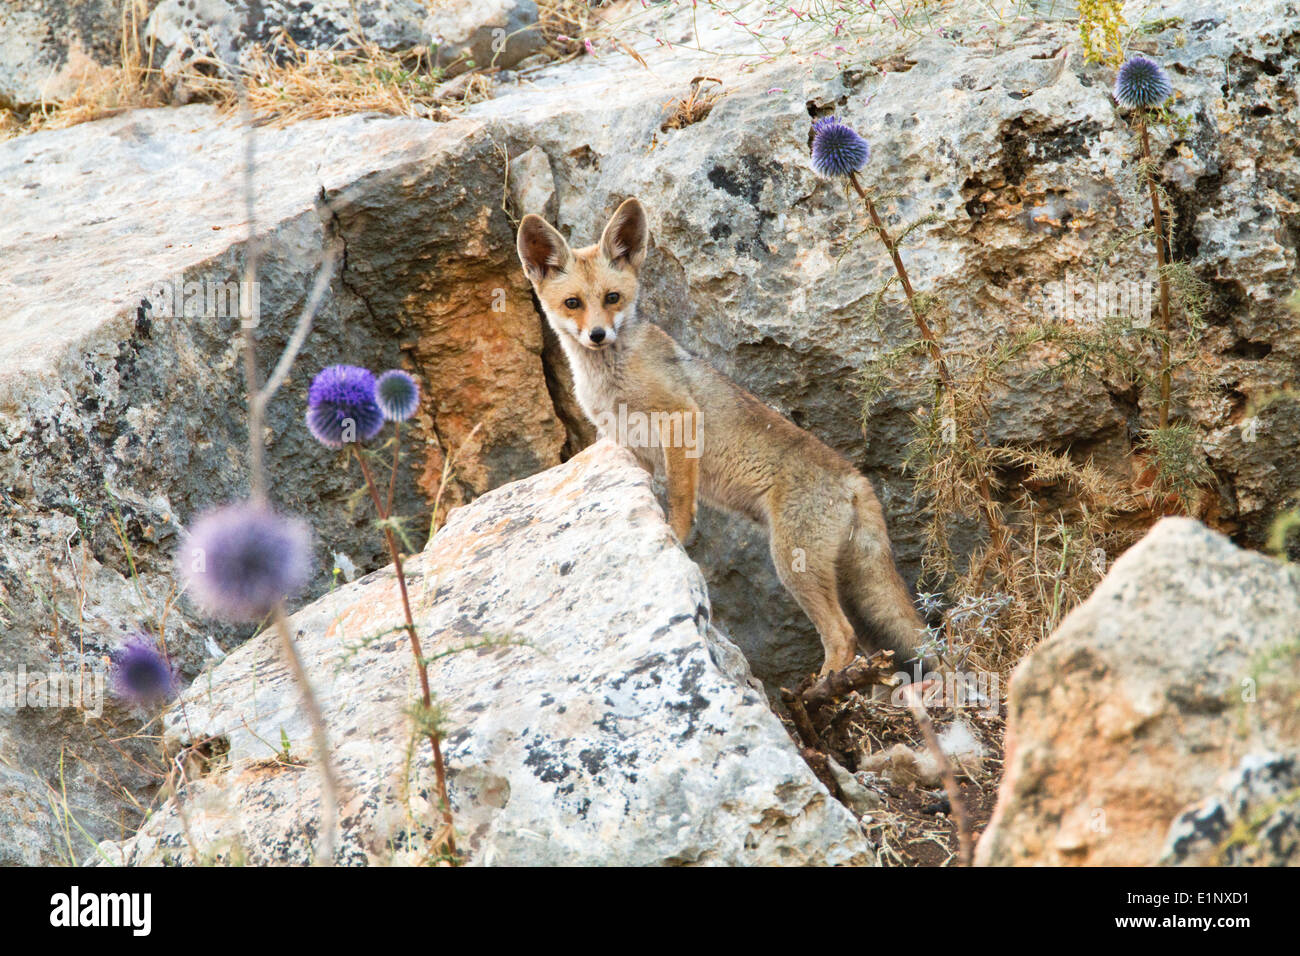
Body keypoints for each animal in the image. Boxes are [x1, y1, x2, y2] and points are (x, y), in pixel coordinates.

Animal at [517, 197, 928, 677]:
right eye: (573, 303)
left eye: (612, 298)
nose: (598, 334)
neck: (608, 379)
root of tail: (857, 479)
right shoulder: (633, 448)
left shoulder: (679, 417)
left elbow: (680, 502)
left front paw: (673, 538)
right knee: (859, 638)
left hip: (792, 562)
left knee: (842, 638)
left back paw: (826, 687)